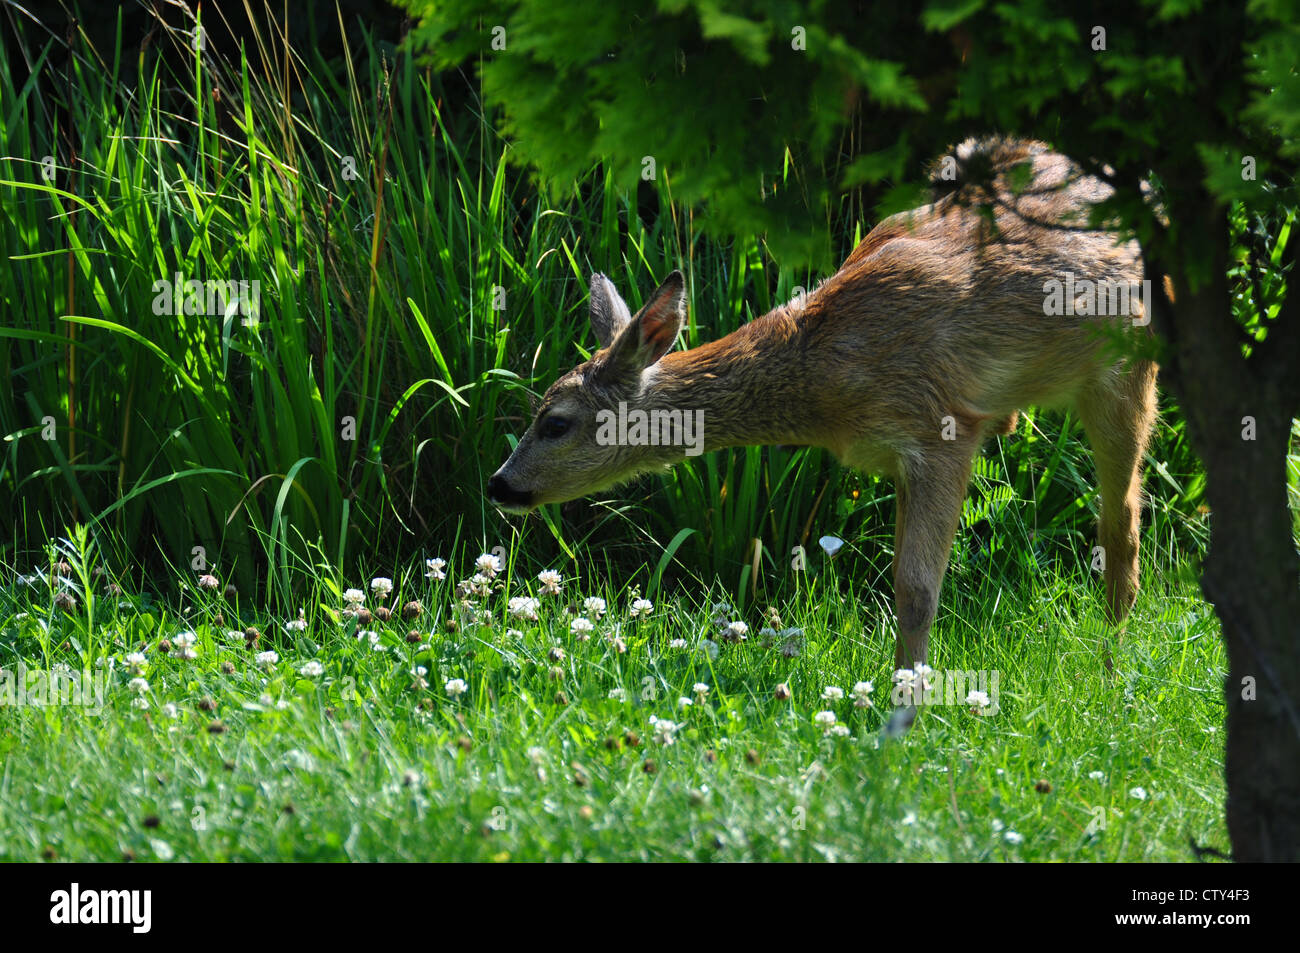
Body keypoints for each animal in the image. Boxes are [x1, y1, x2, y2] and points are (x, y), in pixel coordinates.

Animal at [488, 138, 1159, 670]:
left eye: (555, 423)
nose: (498, 484)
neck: (825, 375)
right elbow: (901, 581)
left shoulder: (943, 427)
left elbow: (917, 592)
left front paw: (907, 706)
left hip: (1125, 368)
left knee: (1122, 520)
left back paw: (1114, 659)